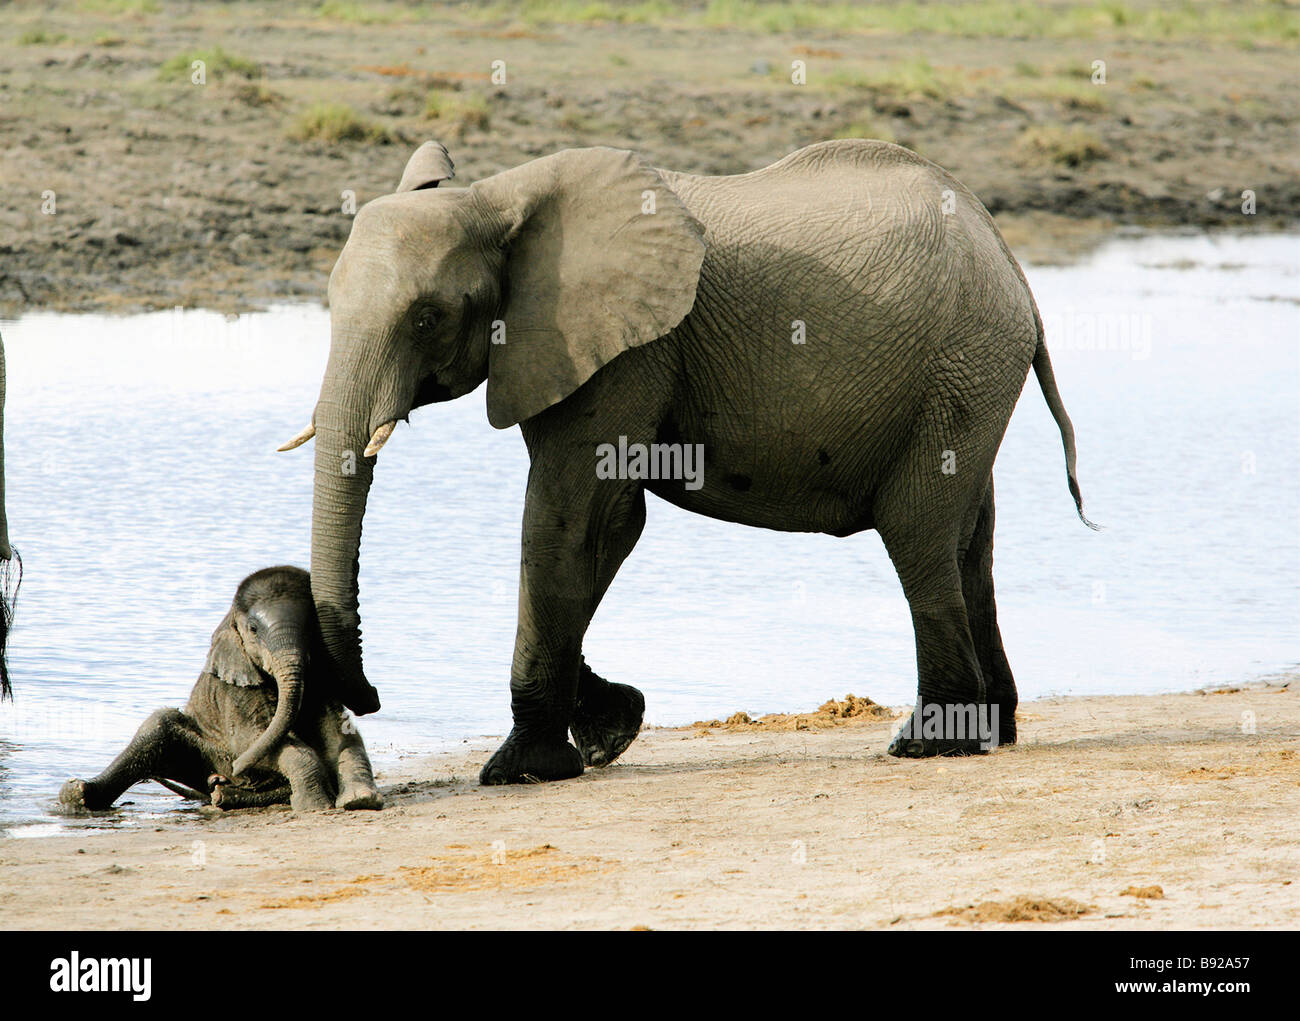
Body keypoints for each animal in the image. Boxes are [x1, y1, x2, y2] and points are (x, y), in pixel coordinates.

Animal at [59, 566, 383, 812]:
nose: (236, 768)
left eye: (311, 628)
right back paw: (76, 796)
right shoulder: (233, 690)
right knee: (158, 726)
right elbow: (250, 738)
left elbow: (336, 732)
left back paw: (222, 793)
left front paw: (359, 800)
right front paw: (317, 807)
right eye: (253, 630)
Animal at [279, 137, 1094, 785]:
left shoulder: (628, 349)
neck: (498, 196)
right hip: (971, 374)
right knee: (971, 541)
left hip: (962, 365)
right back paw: (994, 730)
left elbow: (564, 518)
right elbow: (609, 524)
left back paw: (927, 745)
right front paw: (611, 730)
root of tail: (1013, 264)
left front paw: (521, 770)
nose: (369, 696)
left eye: (427, 318)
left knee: (918, 532)